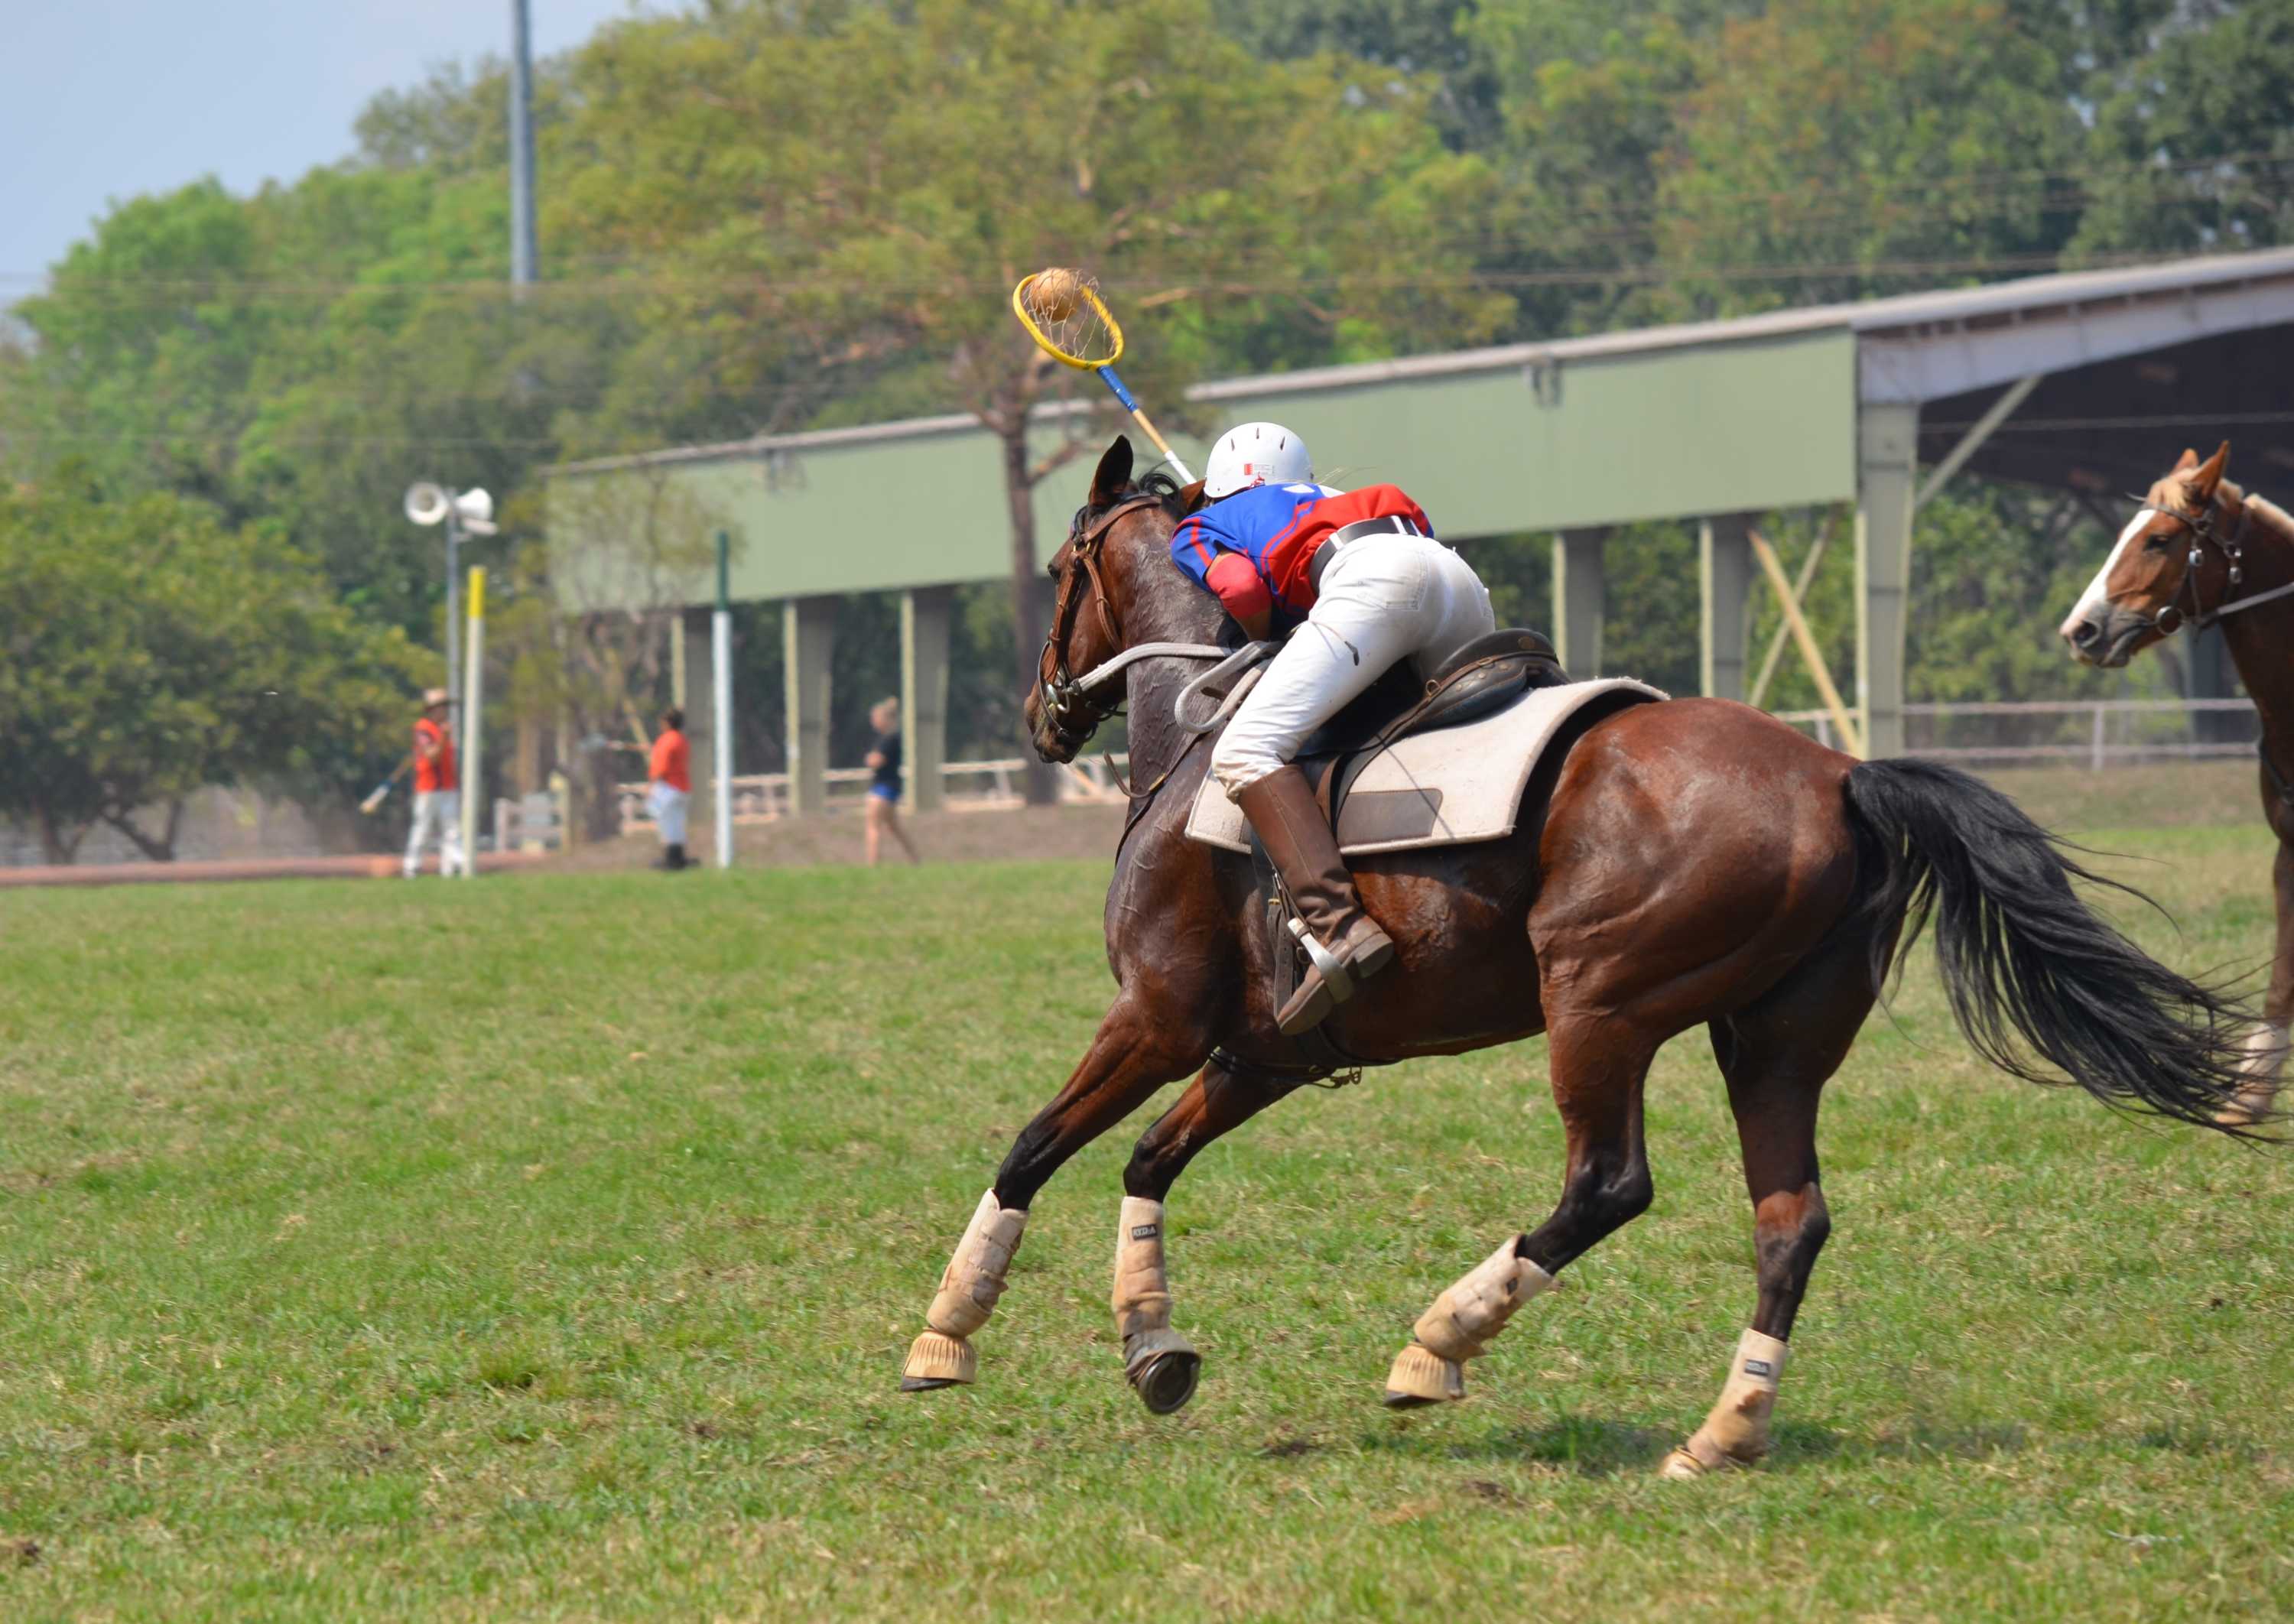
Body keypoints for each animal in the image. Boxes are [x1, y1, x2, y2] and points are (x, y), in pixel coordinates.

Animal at [899, 434, 2257, 1478]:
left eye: (1061, 571)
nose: (1037, 717)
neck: (1196, 742)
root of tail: (1844, 776)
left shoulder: (1160, 1016)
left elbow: (1033, 1149)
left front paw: (944, 1333)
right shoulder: (1265, 1050)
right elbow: (1149, 1159)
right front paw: (1151, 1341)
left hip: (1597, 999)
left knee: (1610, 1185)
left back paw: (1435, 1346)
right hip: (1774, 1038)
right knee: (1790, 1221)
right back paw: (1724, 1432)